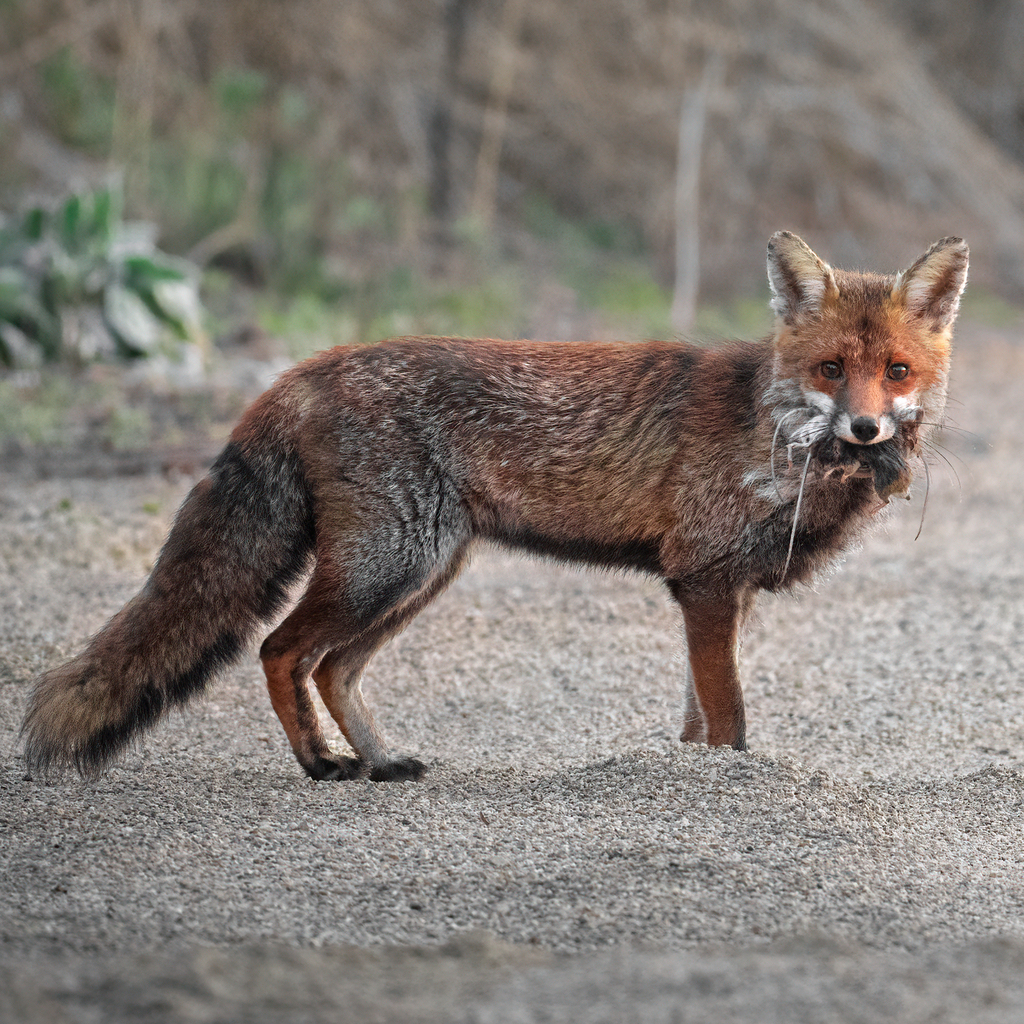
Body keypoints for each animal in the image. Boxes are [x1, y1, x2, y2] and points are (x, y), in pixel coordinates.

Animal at [21, 231, 968, 782]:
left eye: (896, 371)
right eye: (830, 370)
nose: (866, 427)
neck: (772, 431)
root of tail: (299, 370)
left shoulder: (722, 592)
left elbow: (697, 719)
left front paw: (692, 779)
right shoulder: (701, 579)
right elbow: (728, 717)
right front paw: (728, 787)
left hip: (423, 572)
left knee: (332, 668)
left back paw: (377, 761)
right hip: (385, 566)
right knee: (280, 650)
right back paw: (321, 766)